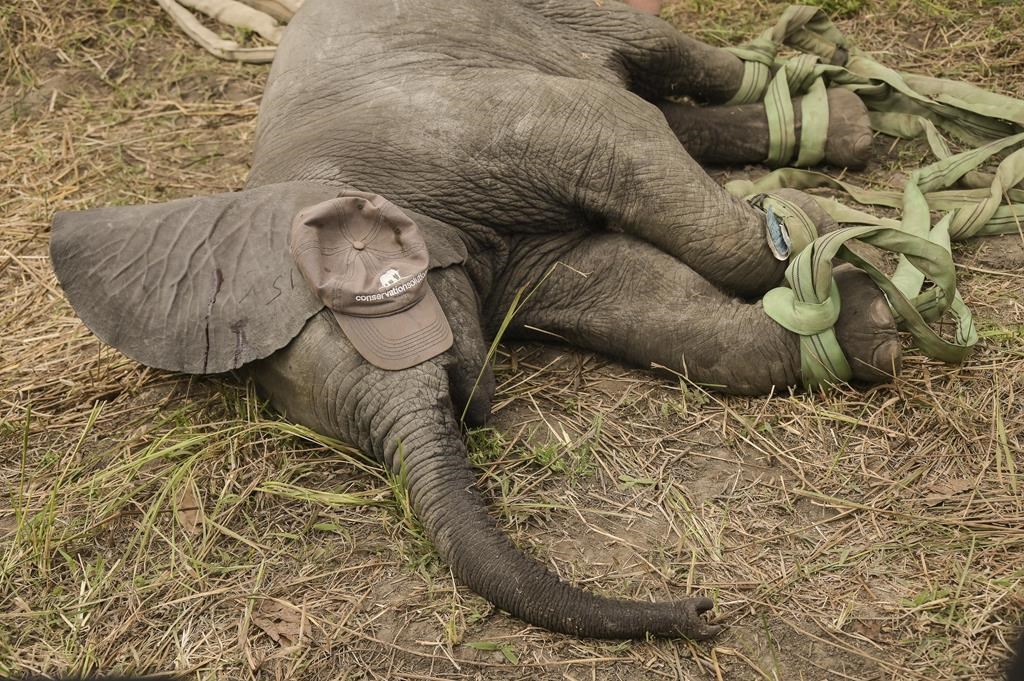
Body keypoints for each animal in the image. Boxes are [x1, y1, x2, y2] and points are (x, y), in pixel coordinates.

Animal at [49, 0, 902, 641]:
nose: (701, 608)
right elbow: (635, 295)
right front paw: (866, 322)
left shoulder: (461, 124)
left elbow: (624, 141)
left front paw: (815, 230)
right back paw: (841, 126)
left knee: (664, 63)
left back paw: (821, 101)